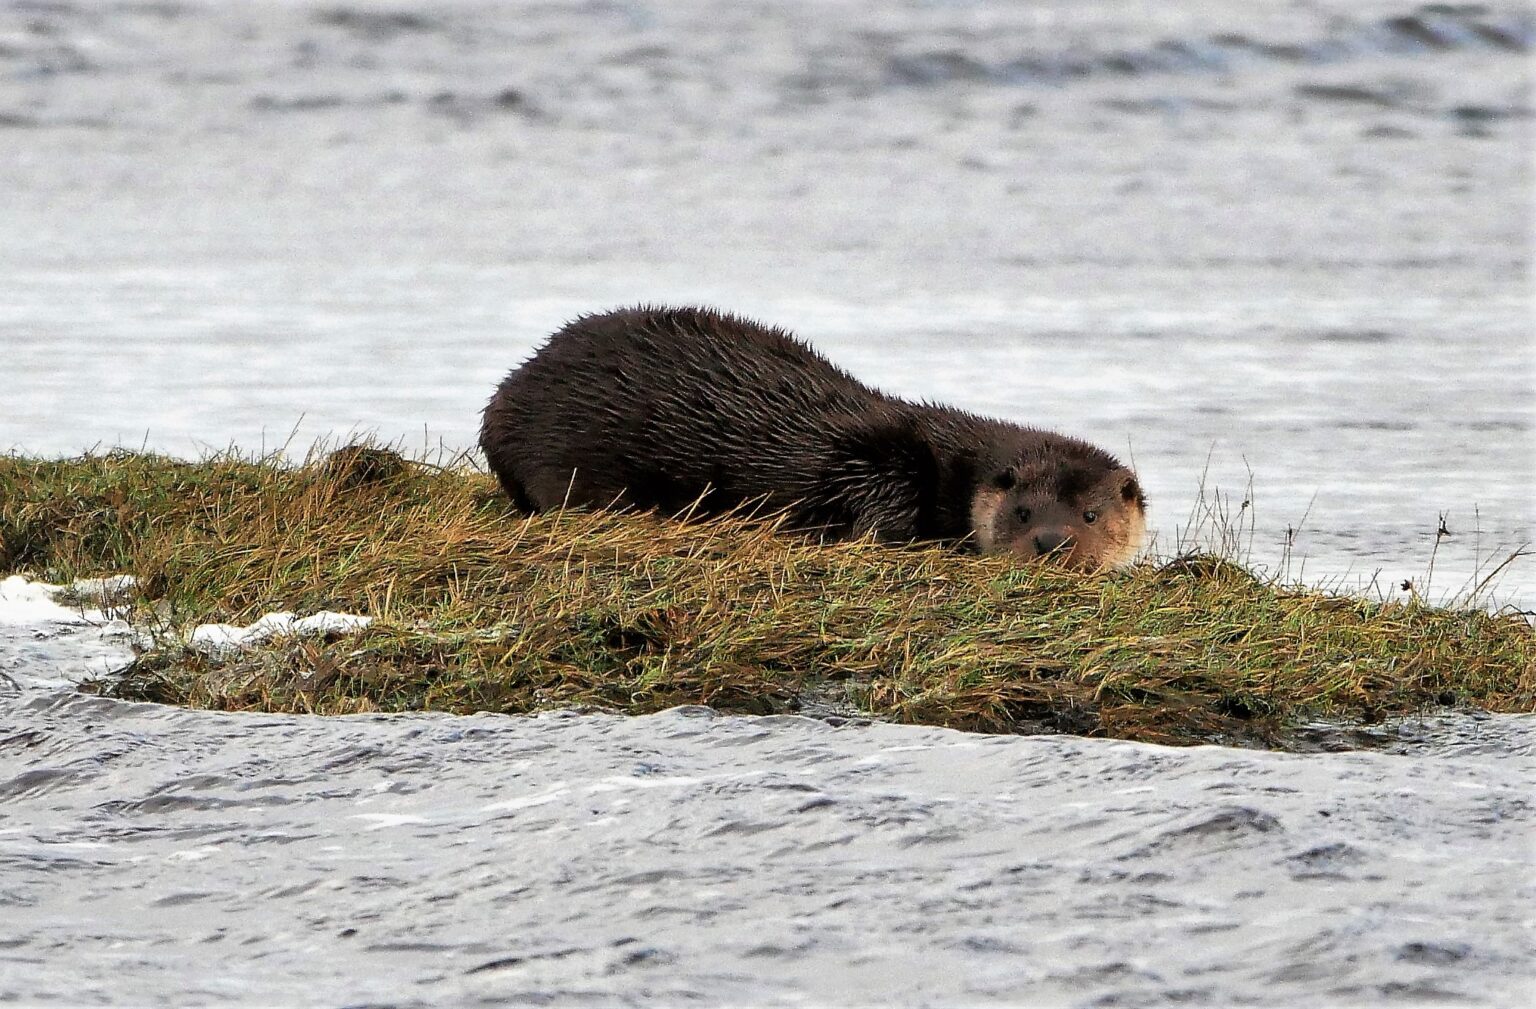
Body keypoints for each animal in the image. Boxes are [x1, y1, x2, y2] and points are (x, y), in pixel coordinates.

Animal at [479, 306, 1146, 569]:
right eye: (1024, 510)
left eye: (1090, 515)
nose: (1053, 543)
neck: (946, 465)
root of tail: (500, 411)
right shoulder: (881, 462)